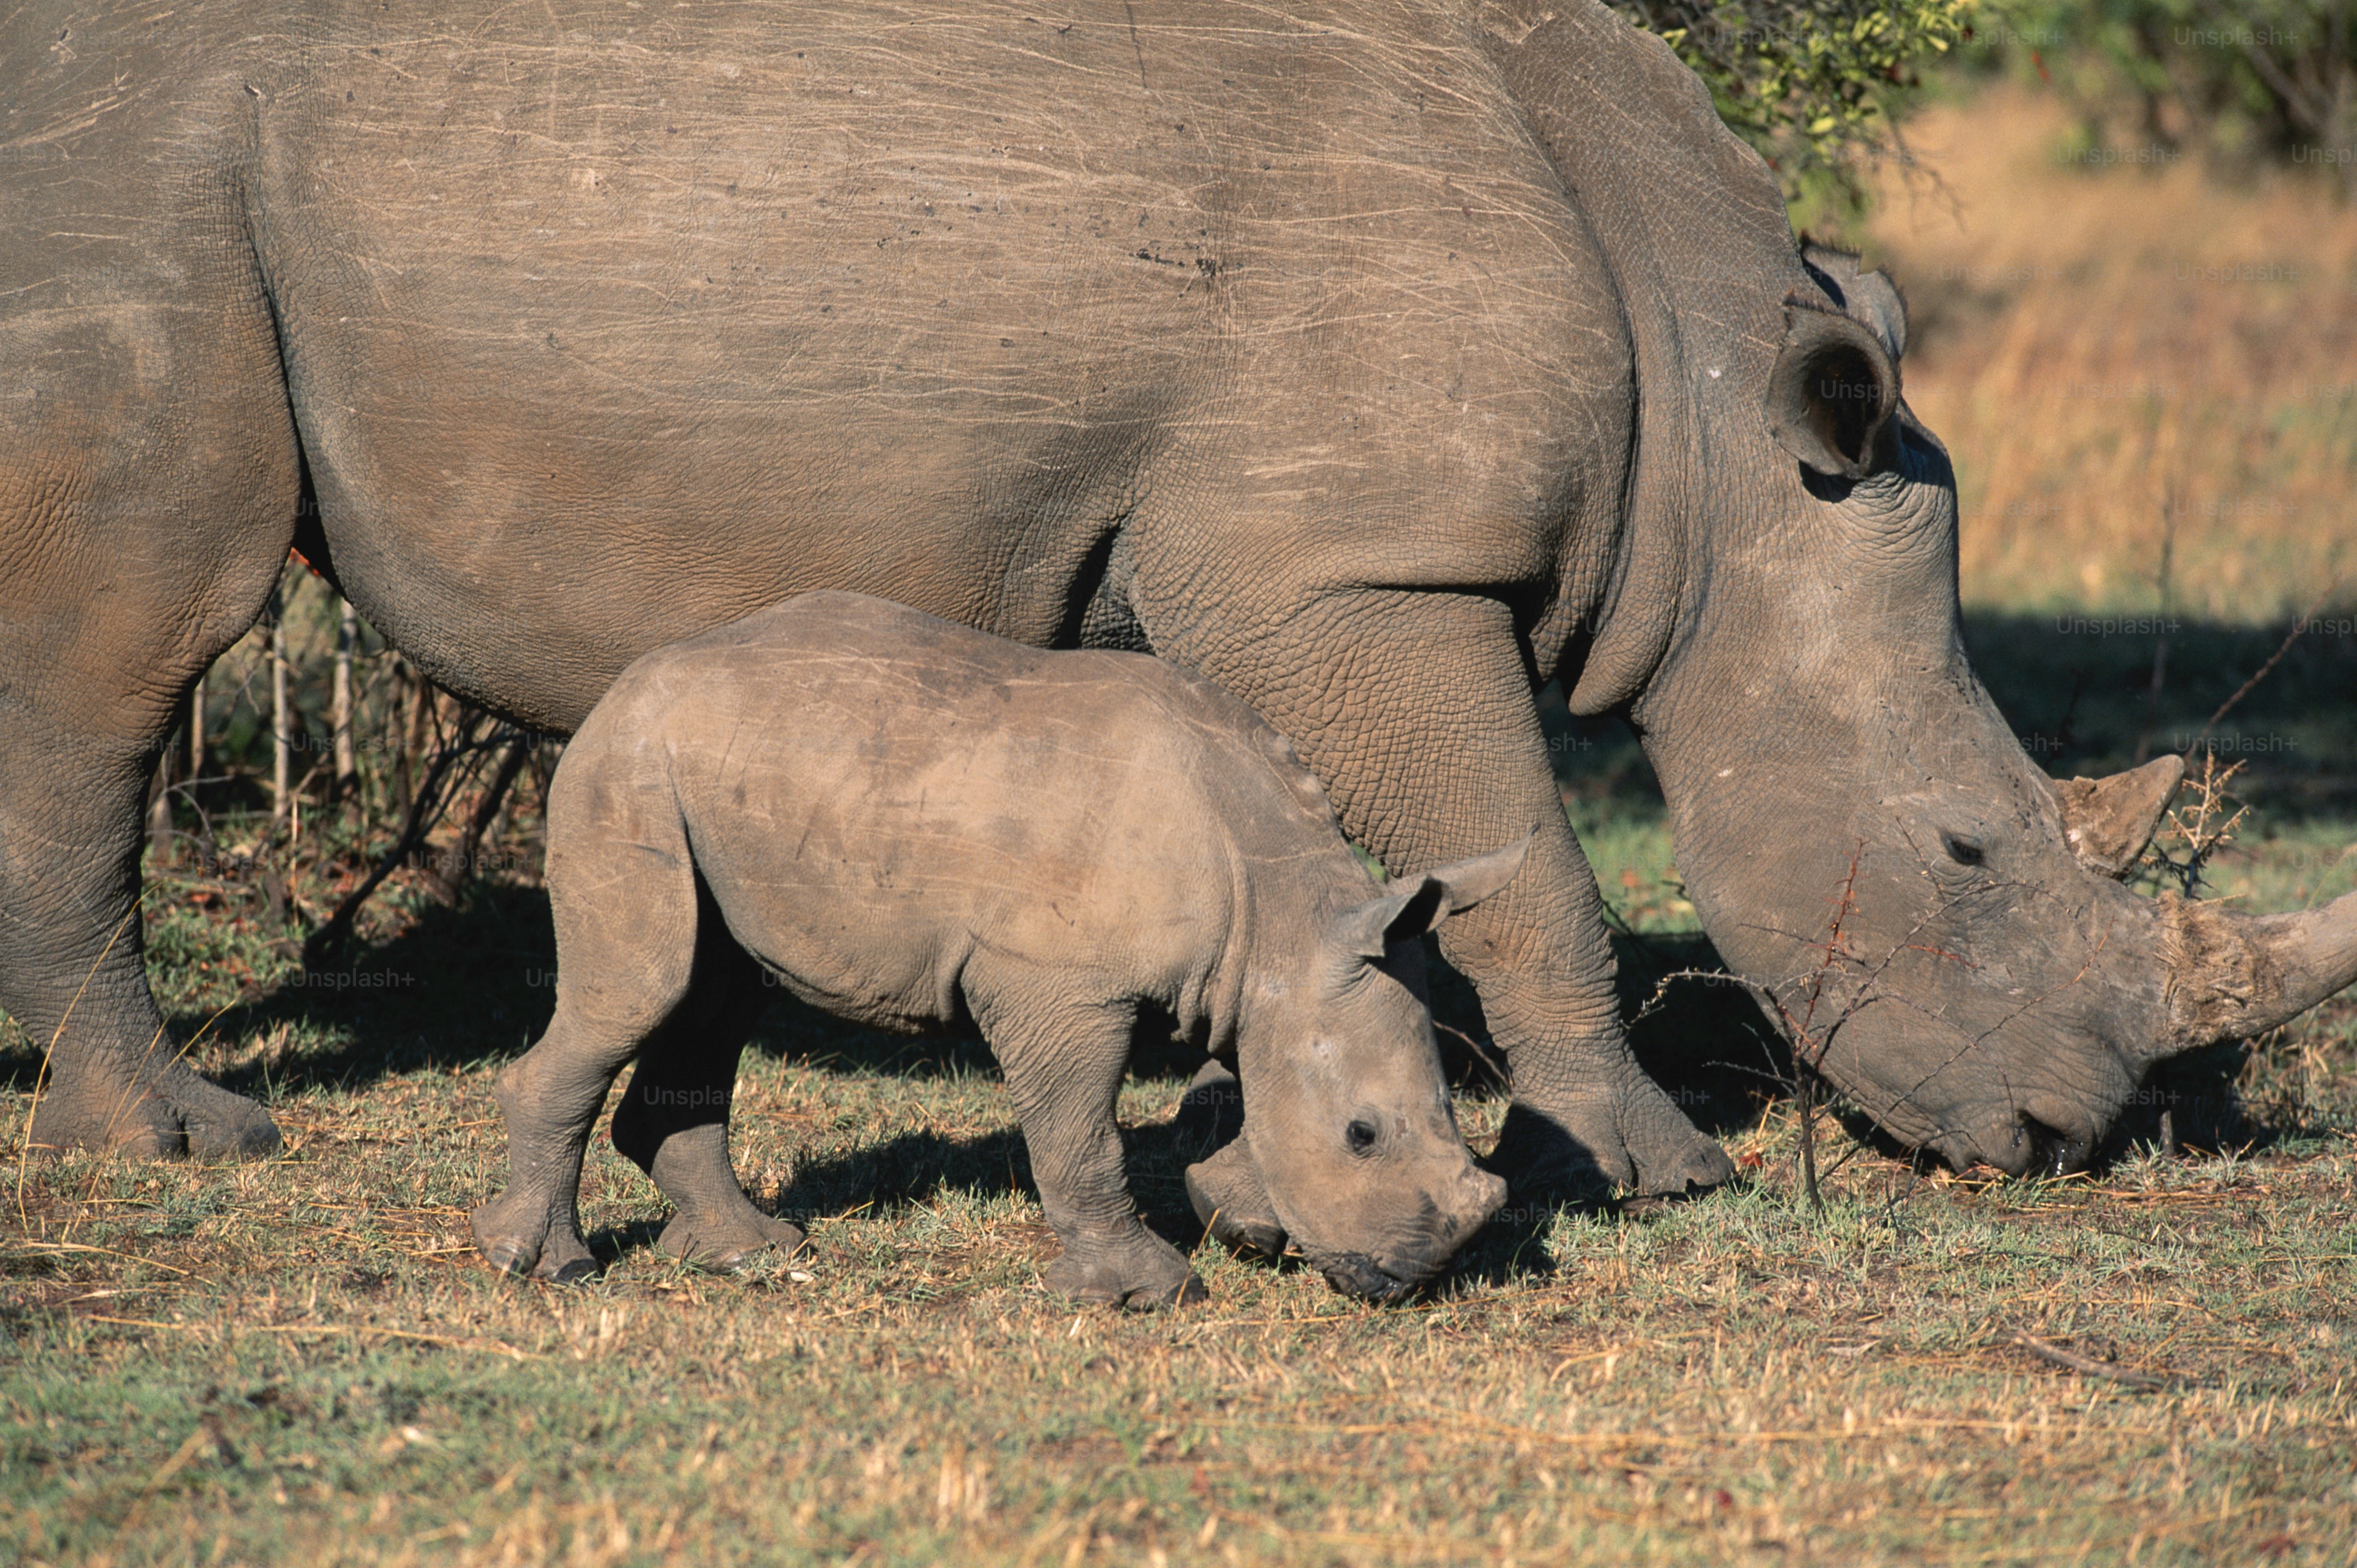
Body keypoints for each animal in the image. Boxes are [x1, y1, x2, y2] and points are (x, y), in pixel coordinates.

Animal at [4, 0, 2353, 1193]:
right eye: (1964, 849)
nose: (2062, 1136)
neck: (1715, 430)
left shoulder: (1262, 561)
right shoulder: (1345, 562)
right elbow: (1531, 869)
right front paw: (1651, 1161)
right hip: (139, 179)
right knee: (123, 654)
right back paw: (182, 1138)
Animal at [467, 590, 1517, 1304]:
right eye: (1363, 1135)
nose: (1415, 1276)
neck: (1285, 917)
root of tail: (626, 681)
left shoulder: (1250, 979)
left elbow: (1234, 1093)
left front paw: (1246, 1221)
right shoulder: (1055, 984)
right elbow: (1079, 1131)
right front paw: (1151, 1292)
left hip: (729, 775)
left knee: (717, 993)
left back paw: (755, 1252)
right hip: (629, 767)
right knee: (646, 989)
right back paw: (547, 1269)